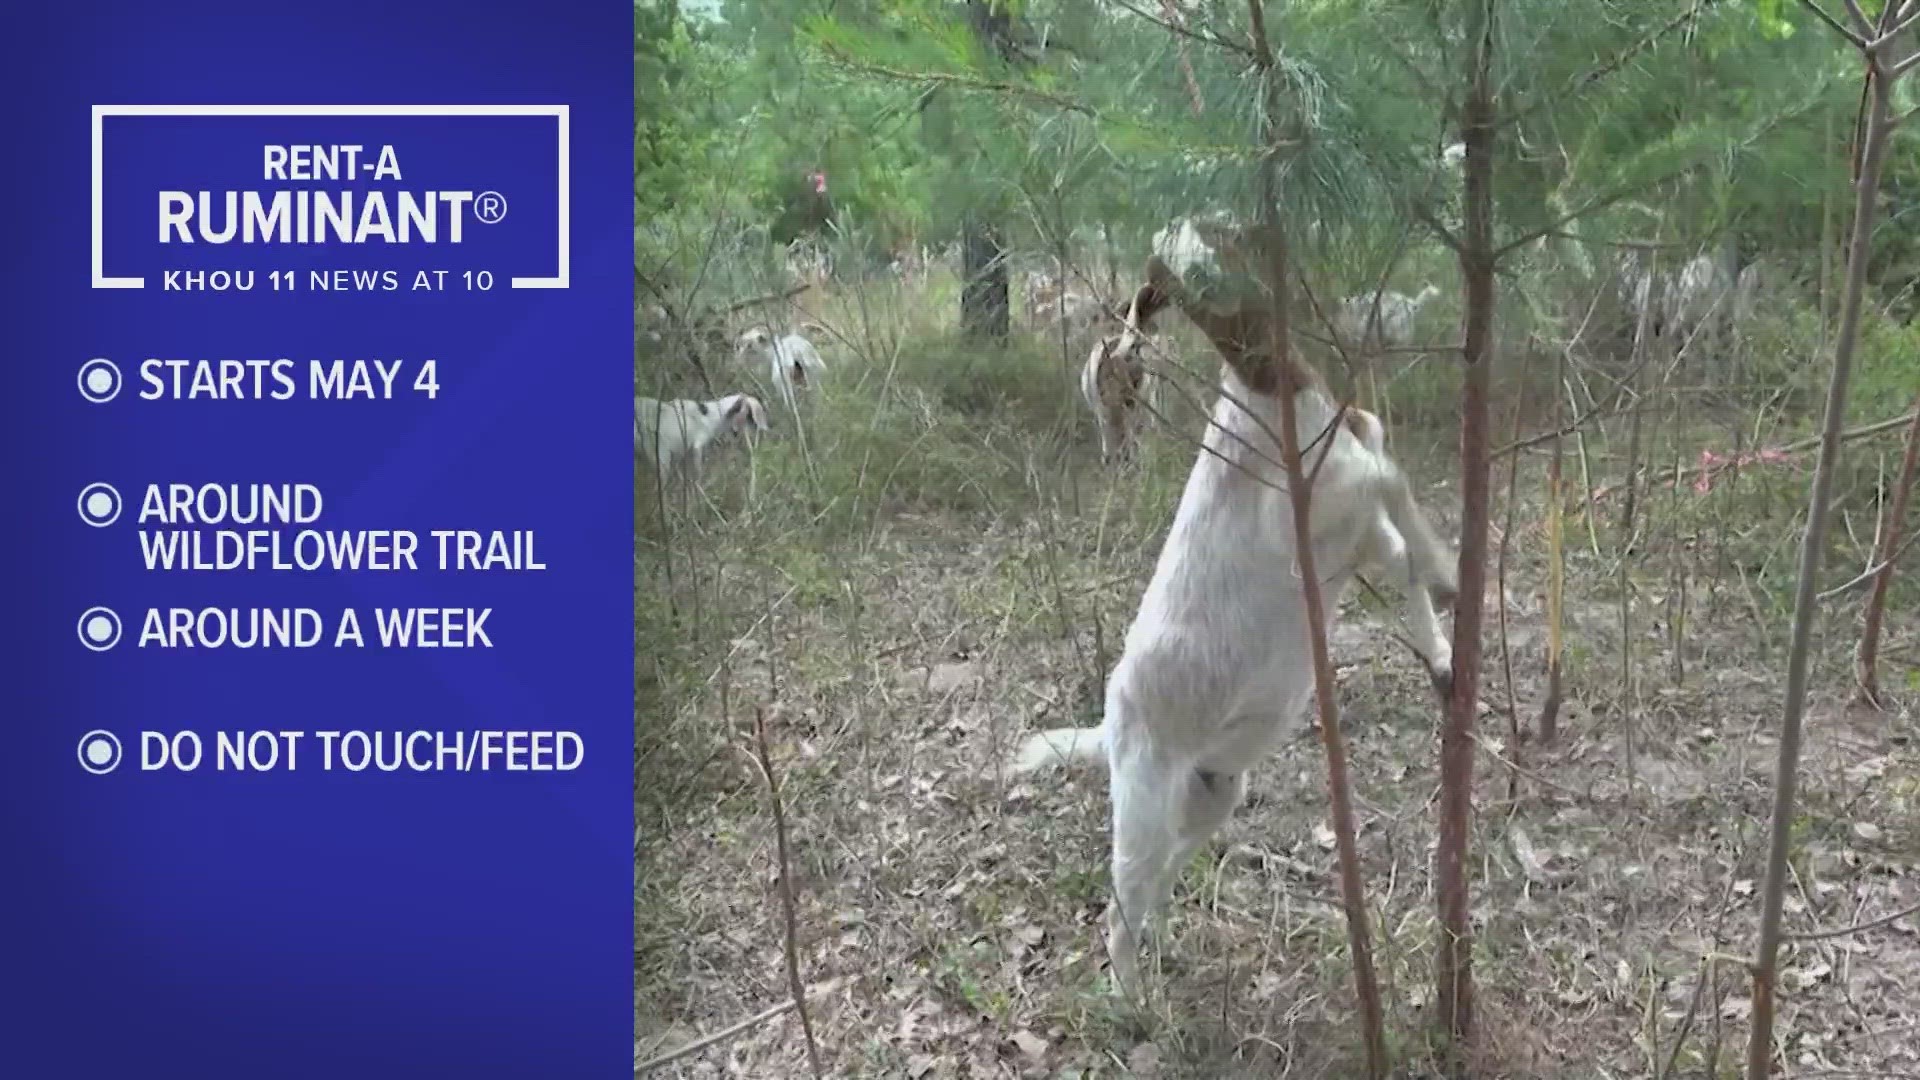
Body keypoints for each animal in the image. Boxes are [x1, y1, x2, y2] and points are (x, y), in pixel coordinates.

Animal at [635, 393, 770, 483]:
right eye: (750, 416)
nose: (764, 431)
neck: (713, 415)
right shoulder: (697, 446)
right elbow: (697, 474)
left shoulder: (684, 453)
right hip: (660, 455)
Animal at [1011, 232, 1458, 996]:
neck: (1270, 394)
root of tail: (1110, 727)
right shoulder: (1311, 516)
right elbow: (1391, 492)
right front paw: (1450, 575)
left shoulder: (1358, 522)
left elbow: (1400, 535)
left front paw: (1443, 646)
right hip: (1145, 811)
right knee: (1119, 913)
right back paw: (1131, 999)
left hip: (1211, 797)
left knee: (1157, 887)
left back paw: (1158, 953)